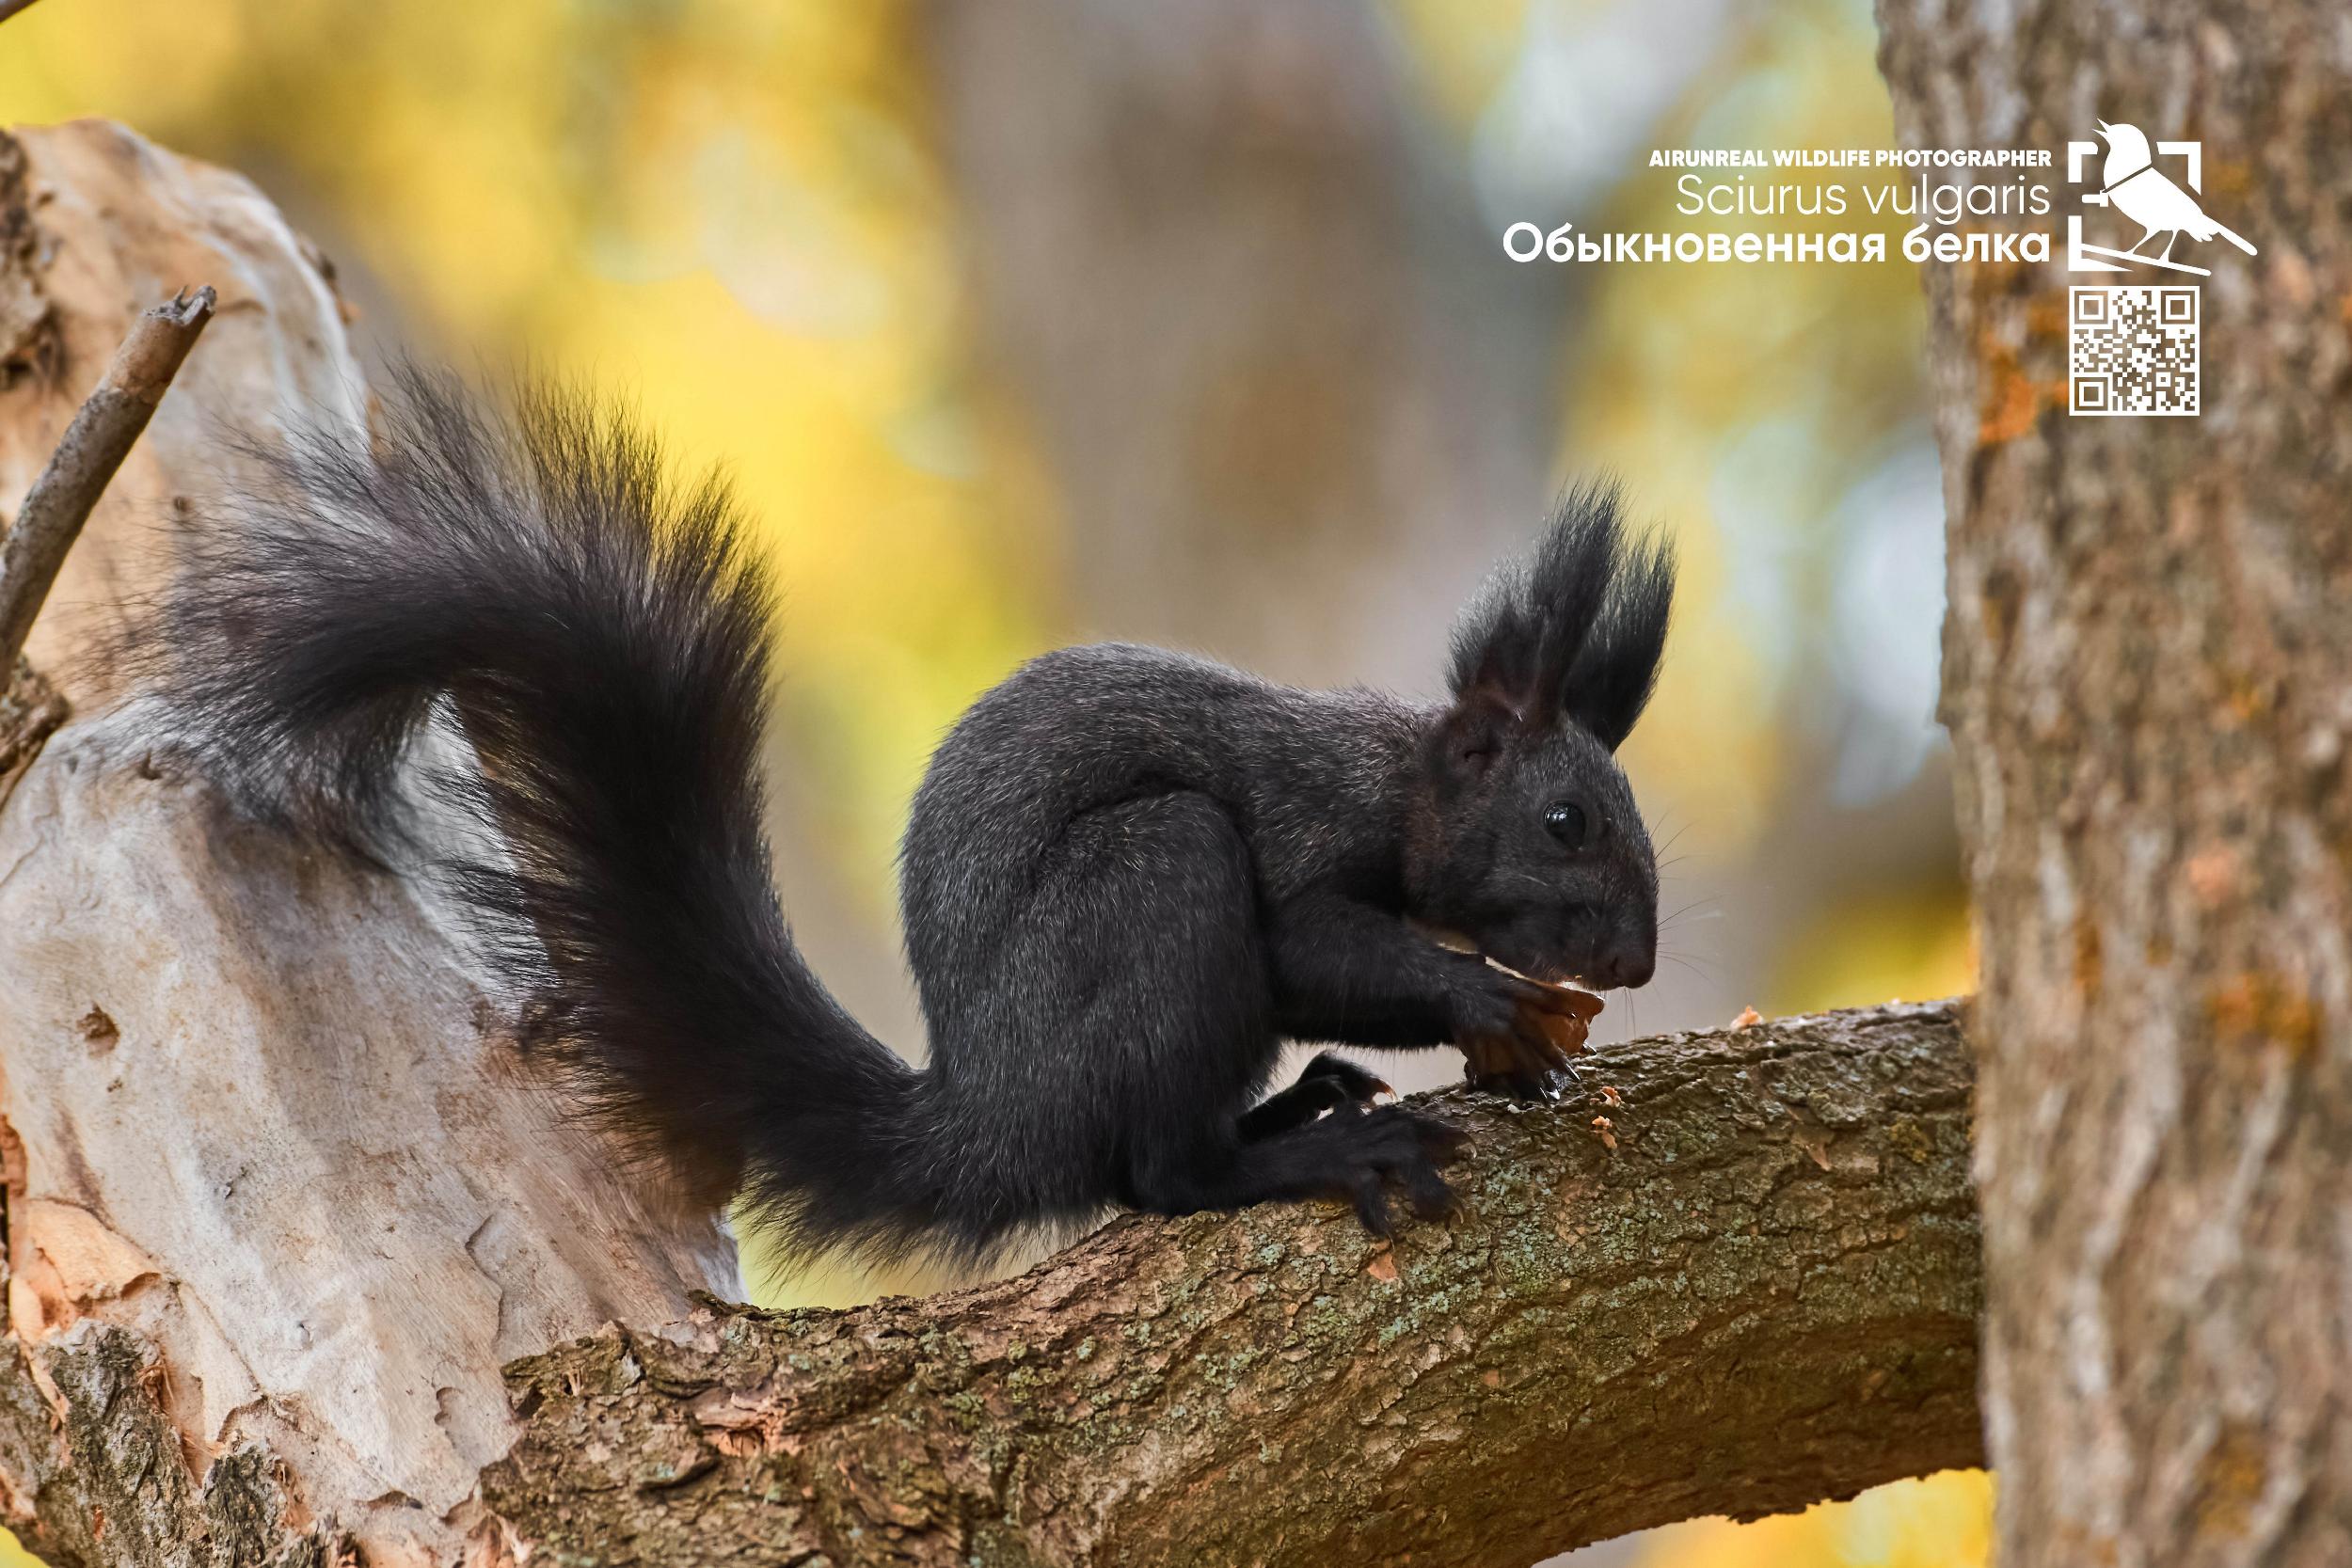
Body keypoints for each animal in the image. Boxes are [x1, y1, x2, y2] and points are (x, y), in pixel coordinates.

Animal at [136, 368, 1674, 1264]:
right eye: (1562, 821)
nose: (1636, 962)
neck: (1399, 782)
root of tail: (988, 1112)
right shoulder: (1301, 823)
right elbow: (1316, 946)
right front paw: (1488, 999)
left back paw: (1301, 1101)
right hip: (1154, 877)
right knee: (1157, 1172)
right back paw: (1319, 1143)